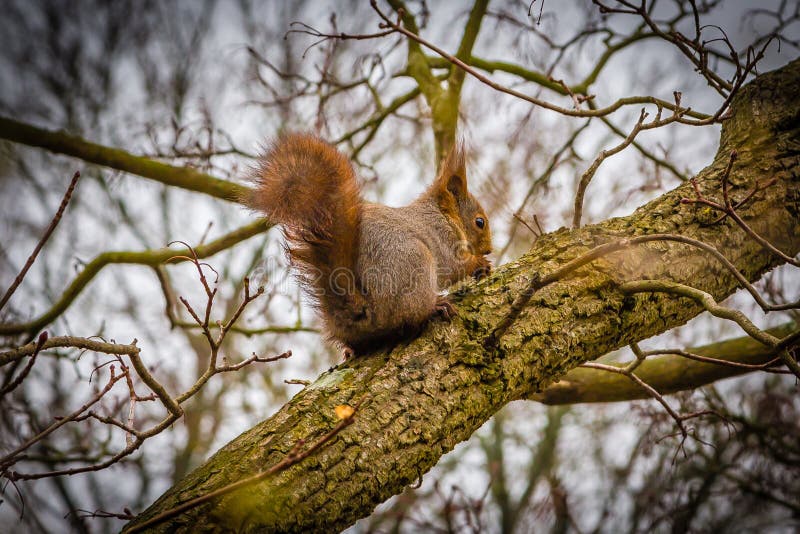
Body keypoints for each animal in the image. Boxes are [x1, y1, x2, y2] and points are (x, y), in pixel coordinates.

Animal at [245, 133, 492, 354]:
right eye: (479, 222)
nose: (489, 249)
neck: (443, 215)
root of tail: (370, 312)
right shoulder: (442, 237)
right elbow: (453, 266)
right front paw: (479, 263)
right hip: (415, 263)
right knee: (411, 312)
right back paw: (435, 307)